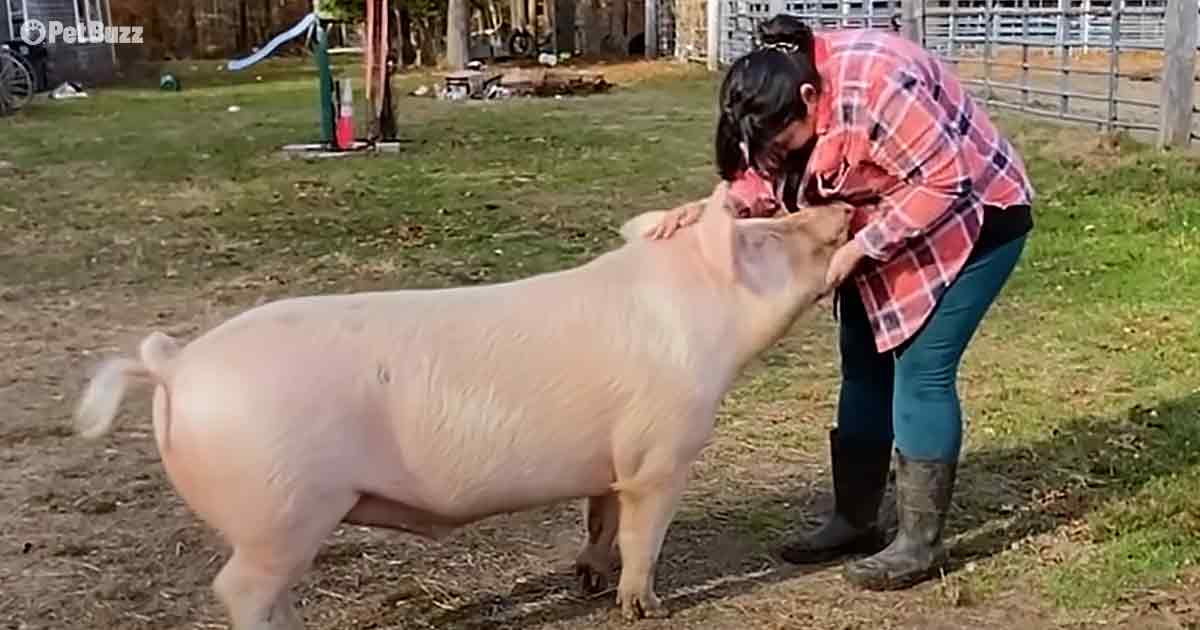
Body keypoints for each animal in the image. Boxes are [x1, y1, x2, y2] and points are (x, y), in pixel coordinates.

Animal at [73, 181, 851, 630]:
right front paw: (644, 608)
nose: (844, 207)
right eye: (765, 235)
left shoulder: (608, 459)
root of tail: (176, 367)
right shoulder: (660, 453)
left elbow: (599, 520)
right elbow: (643, 535)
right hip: (280, 508)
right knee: (237, 590)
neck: (689, 317)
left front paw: (588, 581)